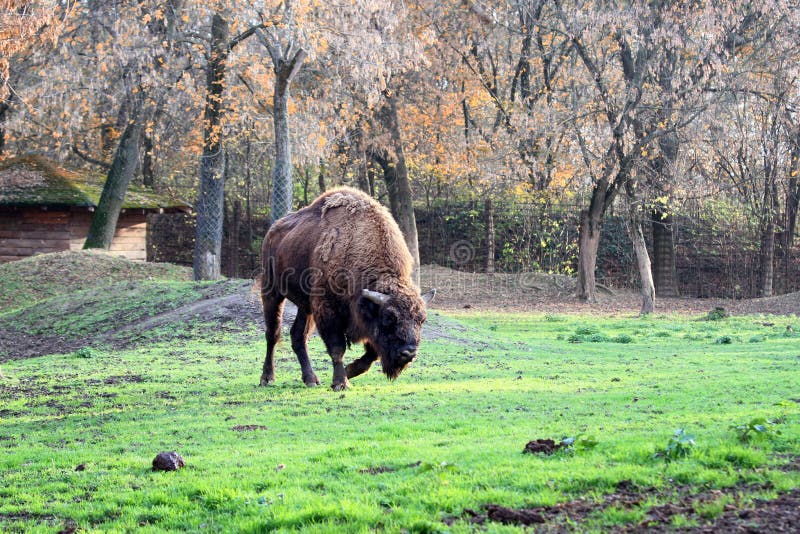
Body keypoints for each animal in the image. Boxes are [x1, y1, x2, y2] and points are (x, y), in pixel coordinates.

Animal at [259, 187, 435, 390]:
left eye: (422, 319)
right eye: (389, 317)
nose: (408, 353)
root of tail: (272, 231)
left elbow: (372, 354)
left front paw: (349, 372)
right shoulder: (328, 311)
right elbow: (337, 348)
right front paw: (340, 383)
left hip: (305, 306)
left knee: (298, 336)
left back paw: (311, 379)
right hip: (272, 292)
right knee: (272, 334)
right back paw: (267, 378)